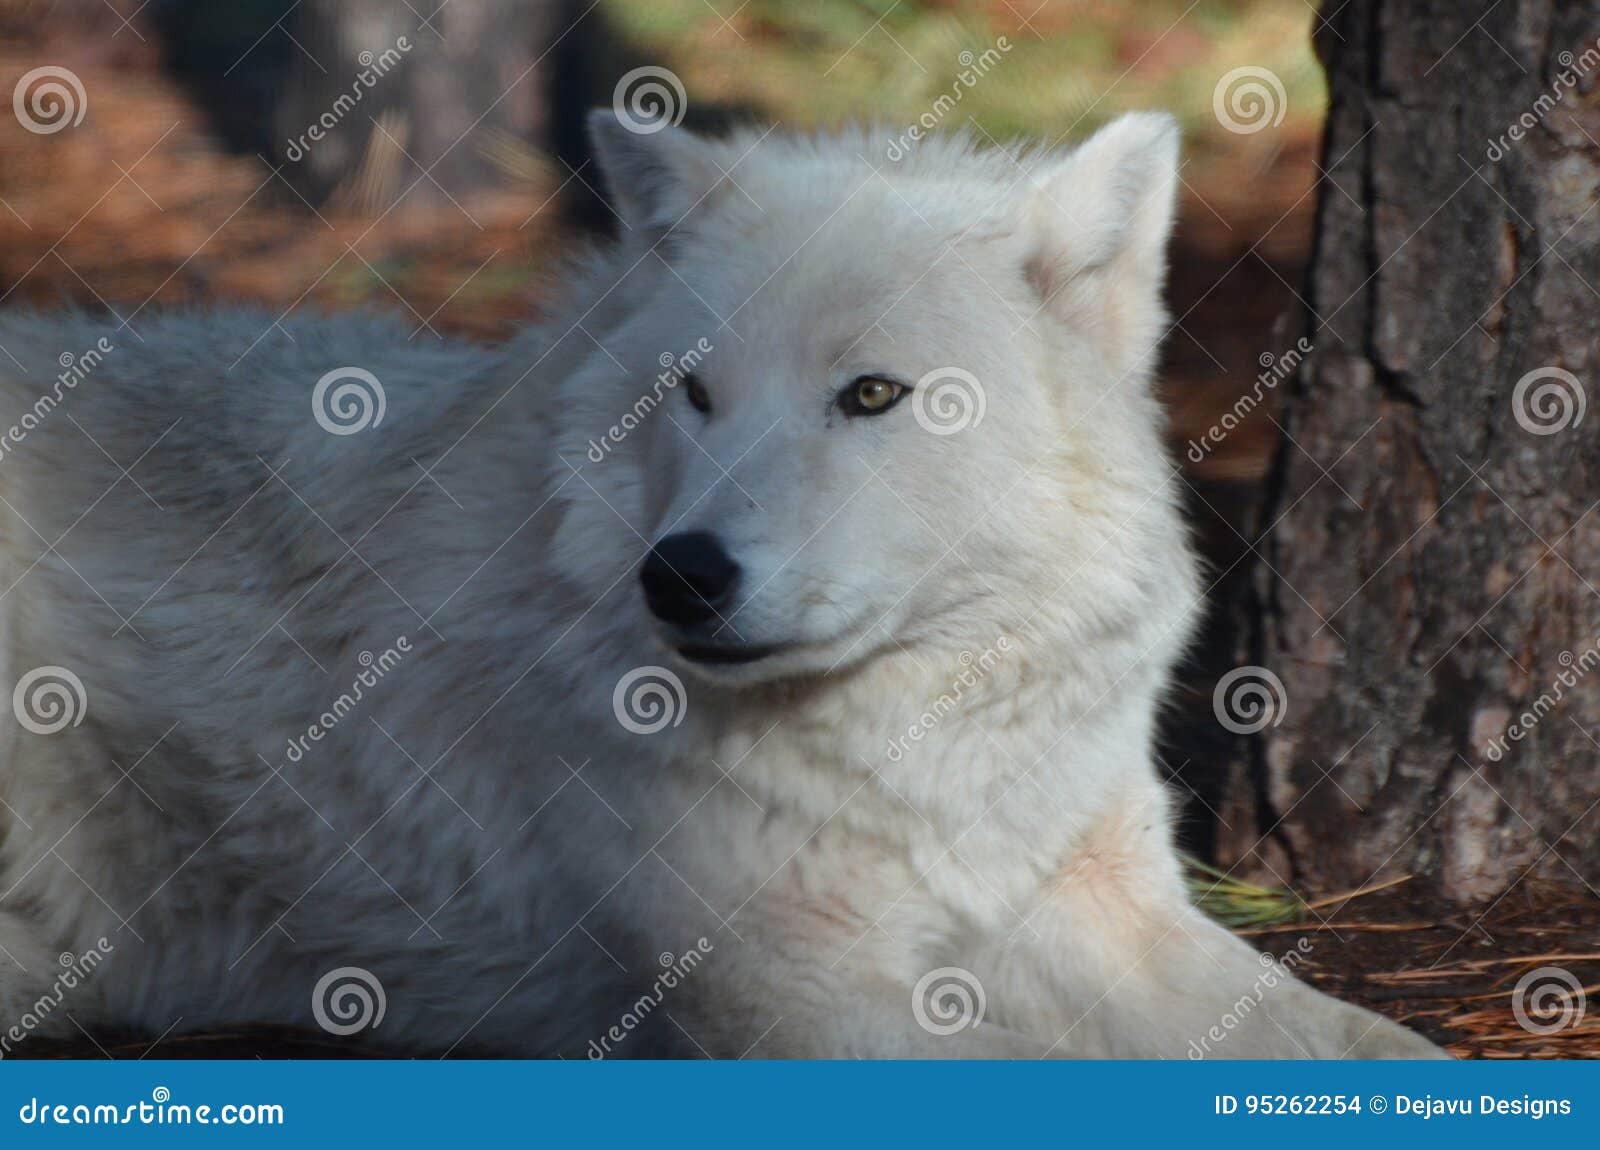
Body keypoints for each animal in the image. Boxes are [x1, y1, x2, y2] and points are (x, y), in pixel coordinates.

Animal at [0, 110, 1442, 1058]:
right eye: (693, 395)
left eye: (872, 394)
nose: (678, 576)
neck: (915, 757)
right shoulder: (793, 991)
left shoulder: (1103, 899)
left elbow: (1370, 1046)